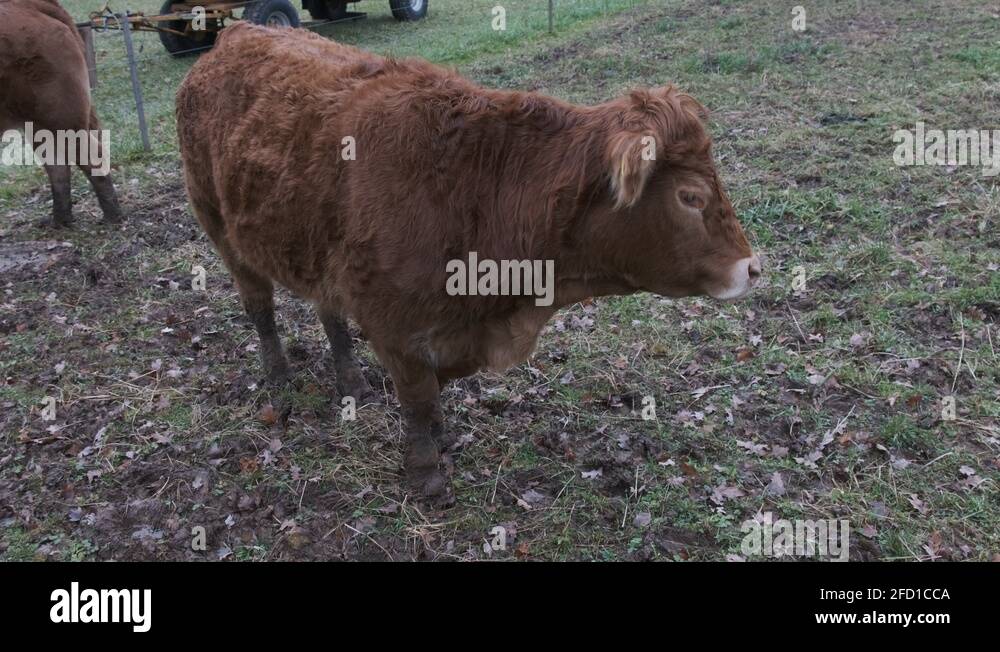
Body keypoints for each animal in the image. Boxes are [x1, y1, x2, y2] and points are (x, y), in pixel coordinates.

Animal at [0, 0, 122, 227]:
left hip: (62, 115)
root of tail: (28, 5)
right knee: (57, 166)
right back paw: (60, 221)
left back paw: (112, 217)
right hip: (41, 122)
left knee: (91, 157)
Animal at [176, 23, 761, 500]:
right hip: (222, 231)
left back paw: (351, 381)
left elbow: (434, 392)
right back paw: (279, 378)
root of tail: (234, 35)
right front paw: (425, 472)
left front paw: (441, 440)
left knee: (329, 311)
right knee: (259, 307)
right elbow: (418, 398)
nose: (752, 268)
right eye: (690, 197)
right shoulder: (395, 326)